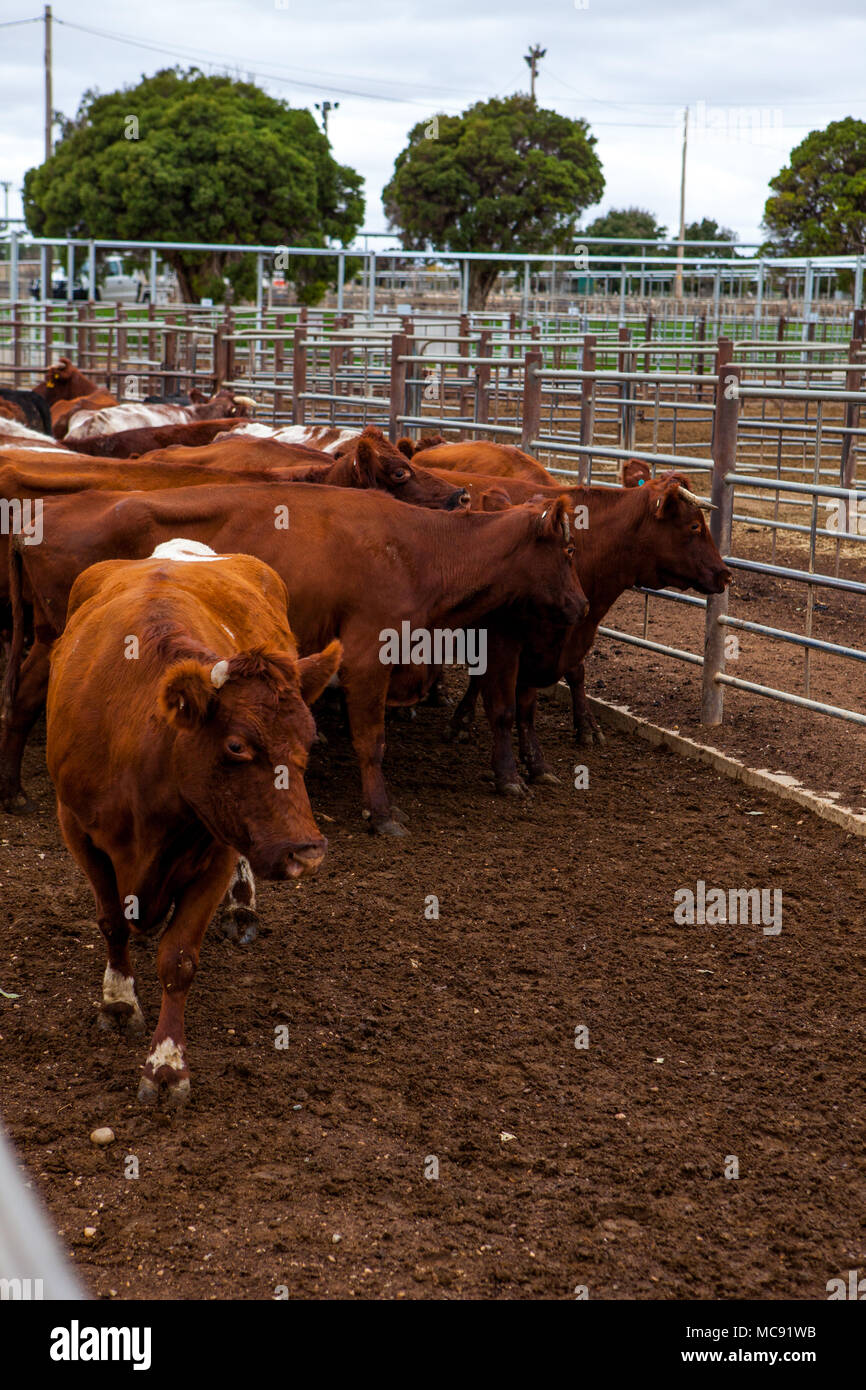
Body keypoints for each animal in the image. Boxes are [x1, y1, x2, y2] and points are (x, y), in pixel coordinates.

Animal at [3, 485, 584, 830]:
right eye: (568, 550)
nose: (580, 606)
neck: (415, 548)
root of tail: (41, 515)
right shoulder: (368, 654)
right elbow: (371, 740)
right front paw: (381, 812)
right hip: (56, 636)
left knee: (24, 699)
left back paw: (14, 791)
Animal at [46, 541, 342, 1104]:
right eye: (237, 746)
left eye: (310, 740)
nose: (306, 852)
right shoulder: (77, 829)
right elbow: (112, 920)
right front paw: (119, 1000)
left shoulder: (216, 847)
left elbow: (178, 959)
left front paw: (166, 1065)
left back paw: (242, 906)